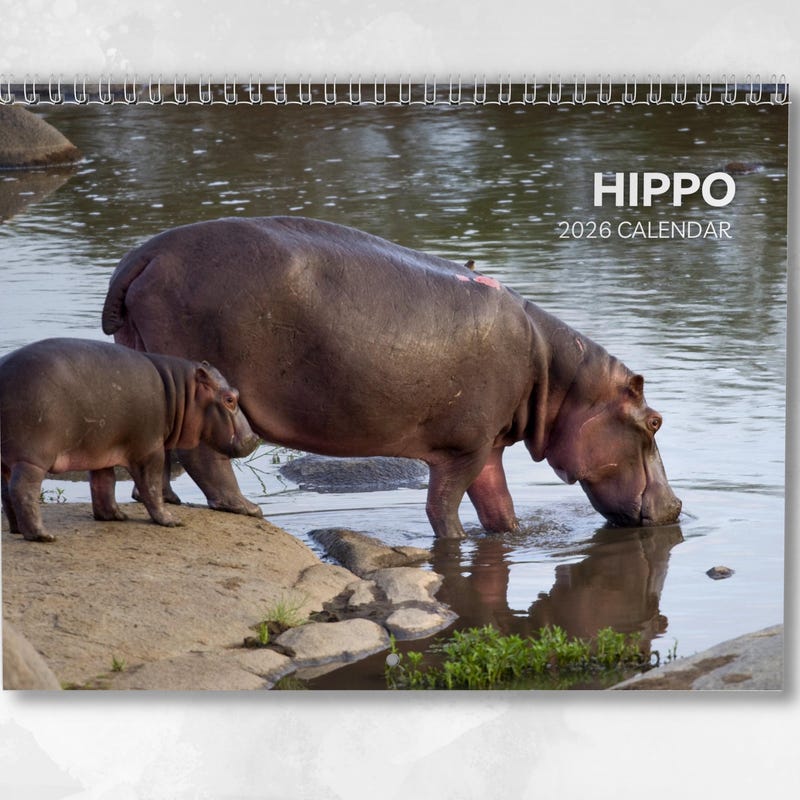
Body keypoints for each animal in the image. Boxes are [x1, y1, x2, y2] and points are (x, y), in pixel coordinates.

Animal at [0, 338, 259, 542]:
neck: (180, 391)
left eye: (237, 393)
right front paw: (171, 520)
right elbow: (151, 487)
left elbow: (104, 484)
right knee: (23, 490)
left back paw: (16, 530)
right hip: (32, 459)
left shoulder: (102, 450)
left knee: (7, 491)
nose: (254, 438)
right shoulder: (150, 450)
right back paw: (43, 536)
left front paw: (115, 517)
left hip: (6, 461)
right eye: (229, 399)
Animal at [101, 216, 681, 538]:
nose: (677, 507)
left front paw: (510, 537)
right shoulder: (464, 449)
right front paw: (454, 539)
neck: (562, 381)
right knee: (204, 456)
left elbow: (500, 508)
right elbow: (442, 509)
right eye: (654, 421)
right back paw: (246, 508)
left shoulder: (489, 446)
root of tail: (141, 255)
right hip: (205, 385)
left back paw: (170, 503)